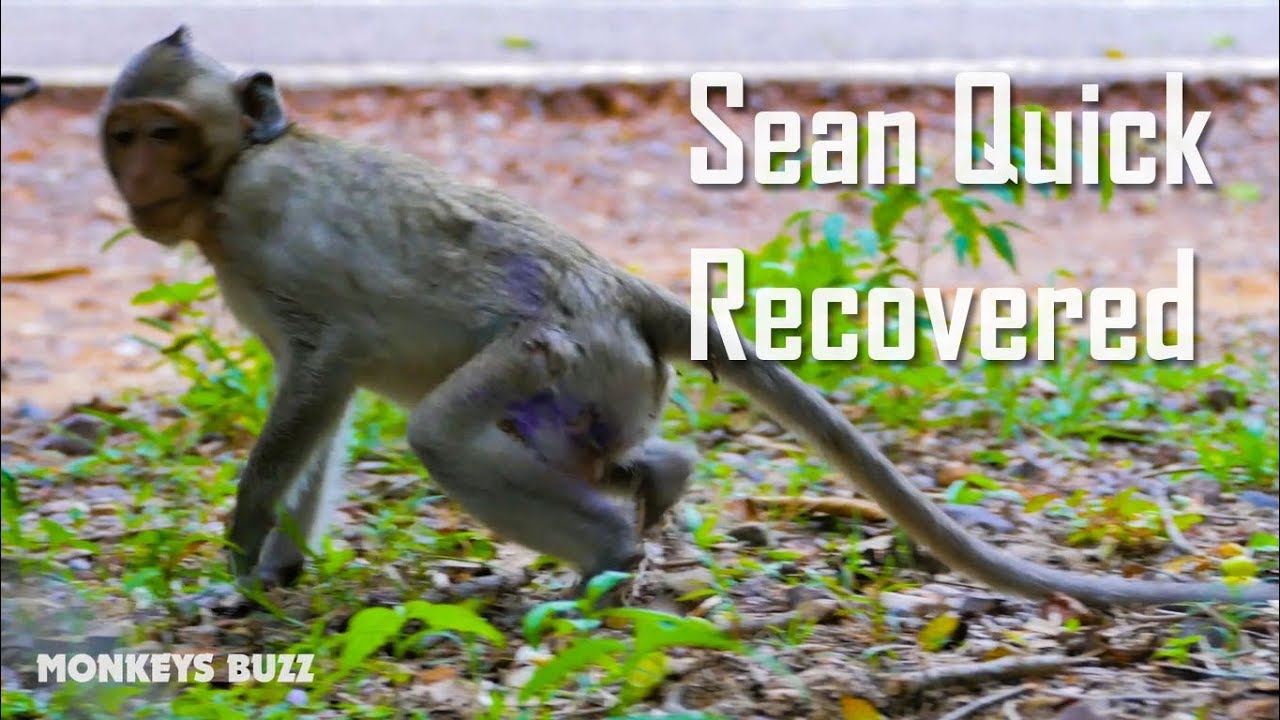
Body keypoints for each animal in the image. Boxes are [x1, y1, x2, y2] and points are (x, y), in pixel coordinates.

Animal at [99, 27, 1277, 608]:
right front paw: (272, 576)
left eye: (162, 130)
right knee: (584, 445)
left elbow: (324, 366)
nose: (138, 174)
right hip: (606, 378)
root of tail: (624, 287)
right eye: (124, 134)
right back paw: (654, 485)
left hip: (564, 346)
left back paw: (608, 555)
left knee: (442, 431)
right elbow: (324, 402)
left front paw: (246, 539)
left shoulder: (269, 233)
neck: (230, 178)